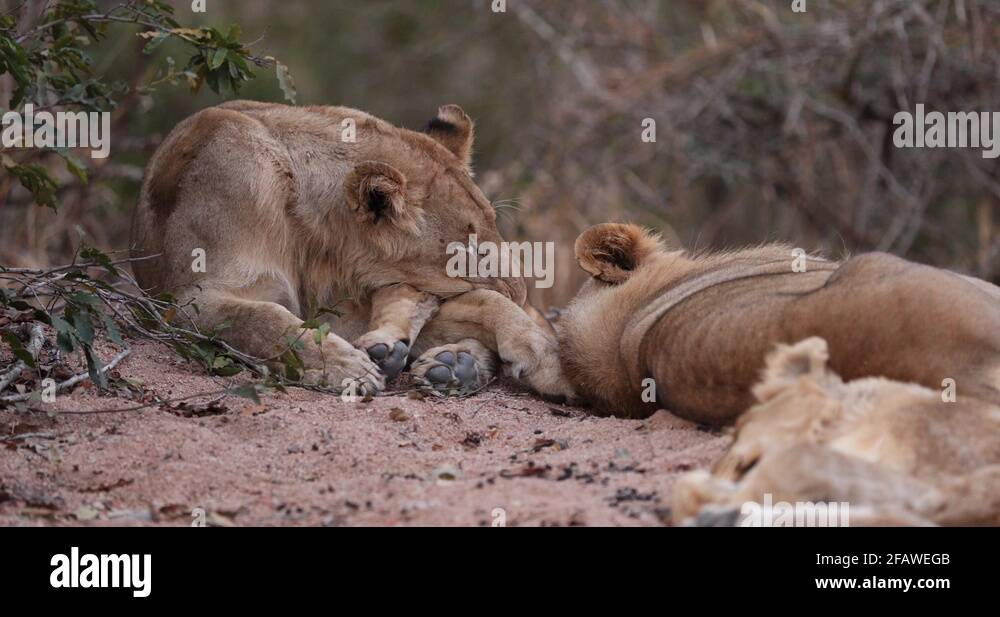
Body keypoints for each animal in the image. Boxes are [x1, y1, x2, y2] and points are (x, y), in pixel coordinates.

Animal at [130, 100, 571, 397]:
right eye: (471, 250)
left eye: (495, 227)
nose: (522, 292)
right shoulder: (189, 300)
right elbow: (264, 319)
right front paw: (346, 368)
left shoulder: (343, 309)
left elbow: (486, 304)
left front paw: (542, 357)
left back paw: (453, 366)